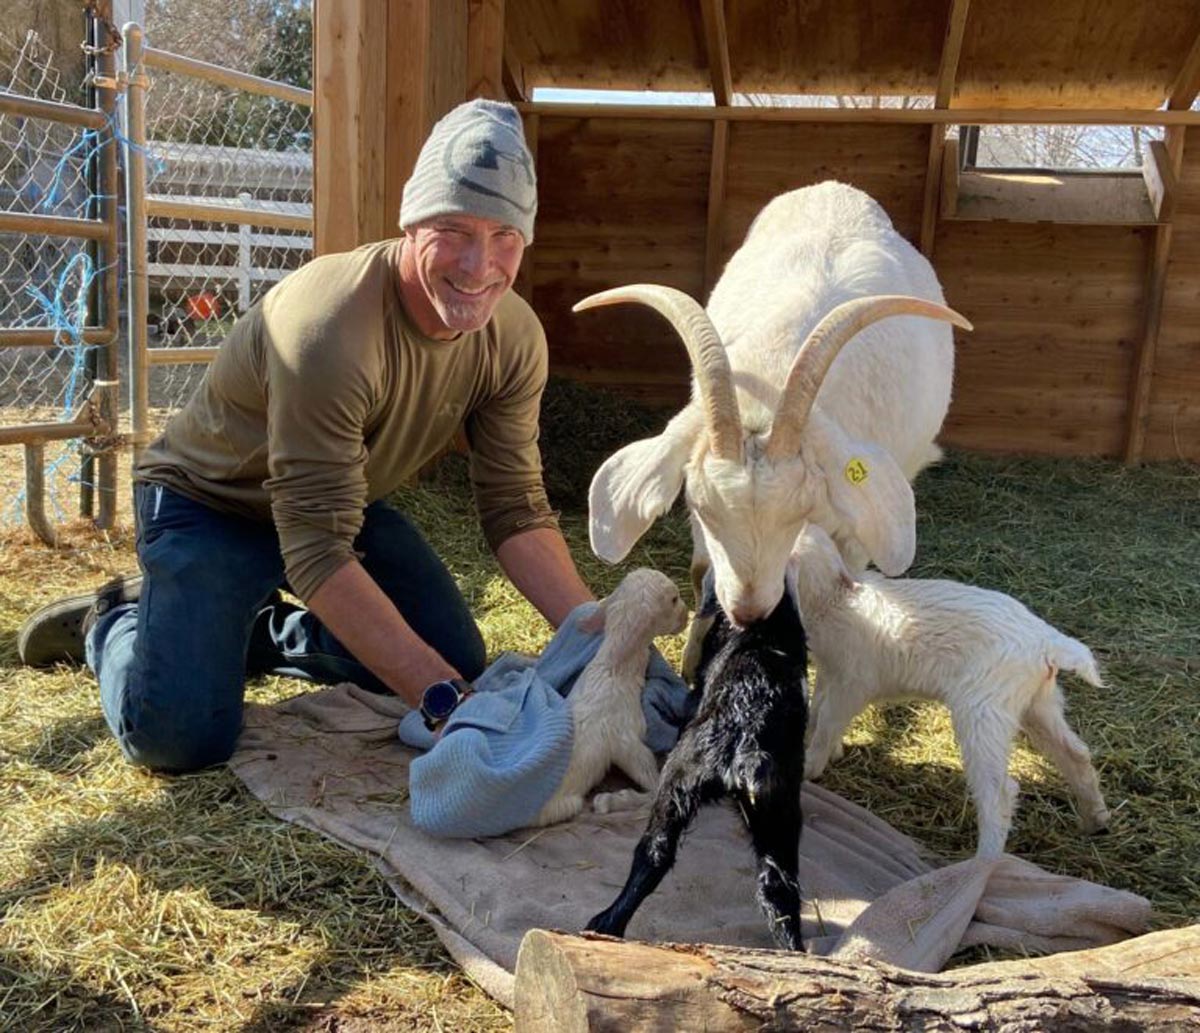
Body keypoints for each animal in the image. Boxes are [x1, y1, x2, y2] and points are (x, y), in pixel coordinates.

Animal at [530, 568, 688, 826]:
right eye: (674, 599)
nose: (686, 618)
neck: (614, 672)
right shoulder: (626, 737)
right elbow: (652, 785)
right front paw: (612, 800)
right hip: (562, 805)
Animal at [573, 182, 971, 674]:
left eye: (800, 511)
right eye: (700, 506)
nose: (748, 612)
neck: (769, 388)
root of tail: (835, 188)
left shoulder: (851, 533)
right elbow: (701, 574)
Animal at [586, 571, 809, 949]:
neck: (769, 626)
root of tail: (749, 740)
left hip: (679, 779)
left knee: (653, 853)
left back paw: (604, 925)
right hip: (777, 811)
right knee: (778, 890)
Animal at [794, 524, 1110, 858]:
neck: (835, 598)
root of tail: (1048, 643)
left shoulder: (852, 681)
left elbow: (828, 722)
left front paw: (811, 766)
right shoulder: (831, 670)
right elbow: (818, 709)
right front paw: (827, 750)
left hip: (983, 711)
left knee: (999, 794)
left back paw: (984, 861)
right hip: (1037, 702)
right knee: (1076, 754)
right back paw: (1095, 819)